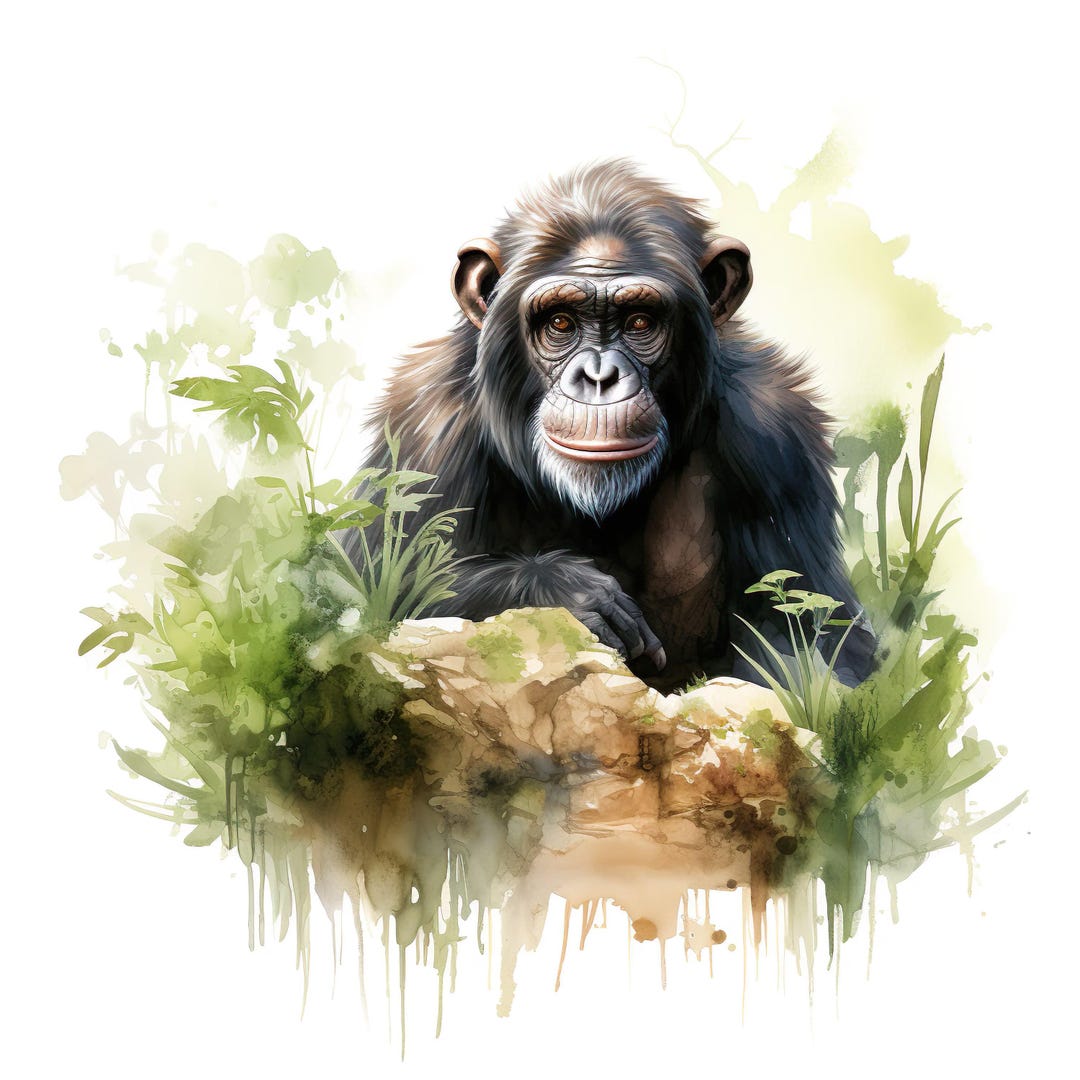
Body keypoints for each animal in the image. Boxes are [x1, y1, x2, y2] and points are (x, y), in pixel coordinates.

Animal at [343, 160, 874, 691]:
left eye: (640, 321)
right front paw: (570, 591)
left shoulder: (776, 435)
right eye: (560, 322)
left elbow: (815, 646)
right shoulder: (424, 424)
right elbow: (372, 596)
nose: (600, 376)